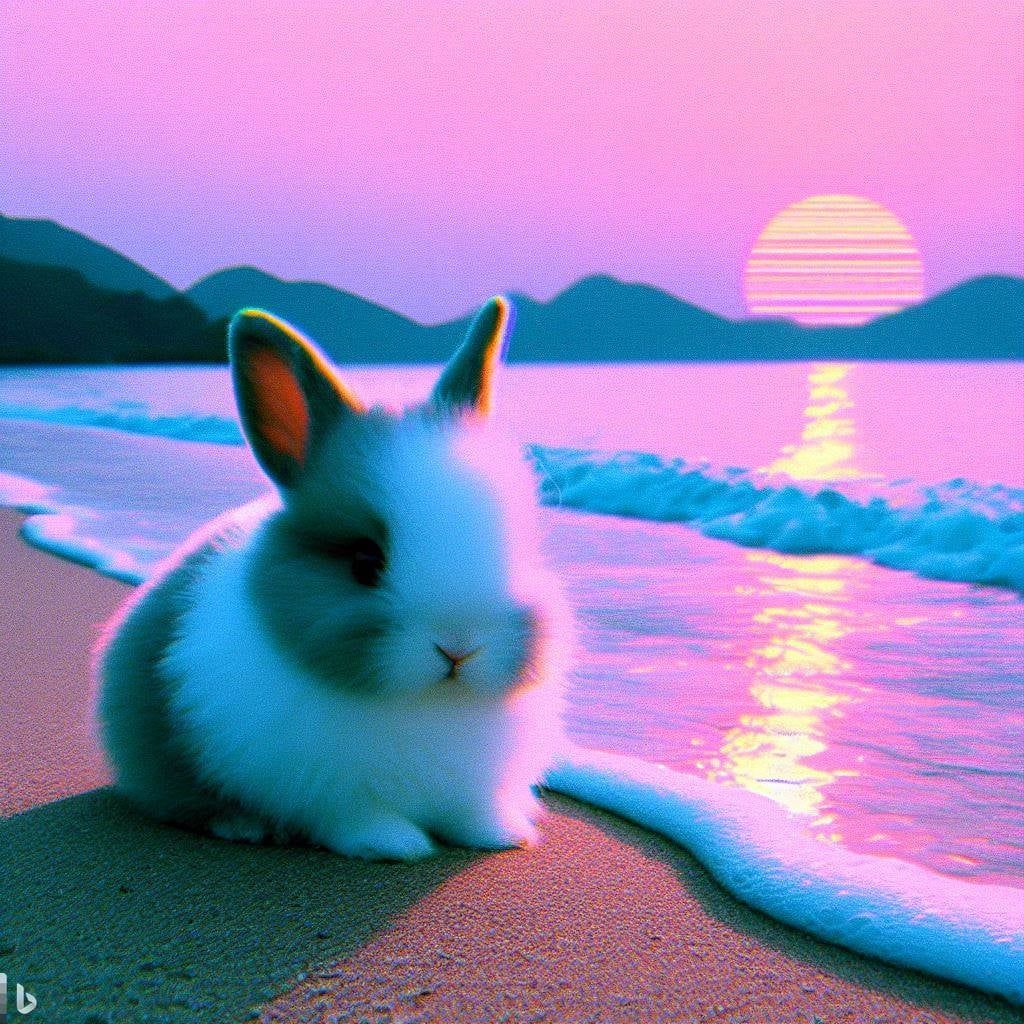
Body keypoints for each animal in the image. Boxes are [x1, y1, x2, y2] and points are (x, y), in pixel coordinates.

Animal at [94, 296, 571, 861]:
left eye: (518, 548)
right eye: (365, 562)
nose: (459, 648)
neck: (428, 702)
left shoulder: (470, 787)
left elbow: (469, 813)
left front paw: (501, 834)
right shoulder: (332, 793)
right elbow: (356, 817)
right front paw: (396, 844)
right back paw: (243, 824)